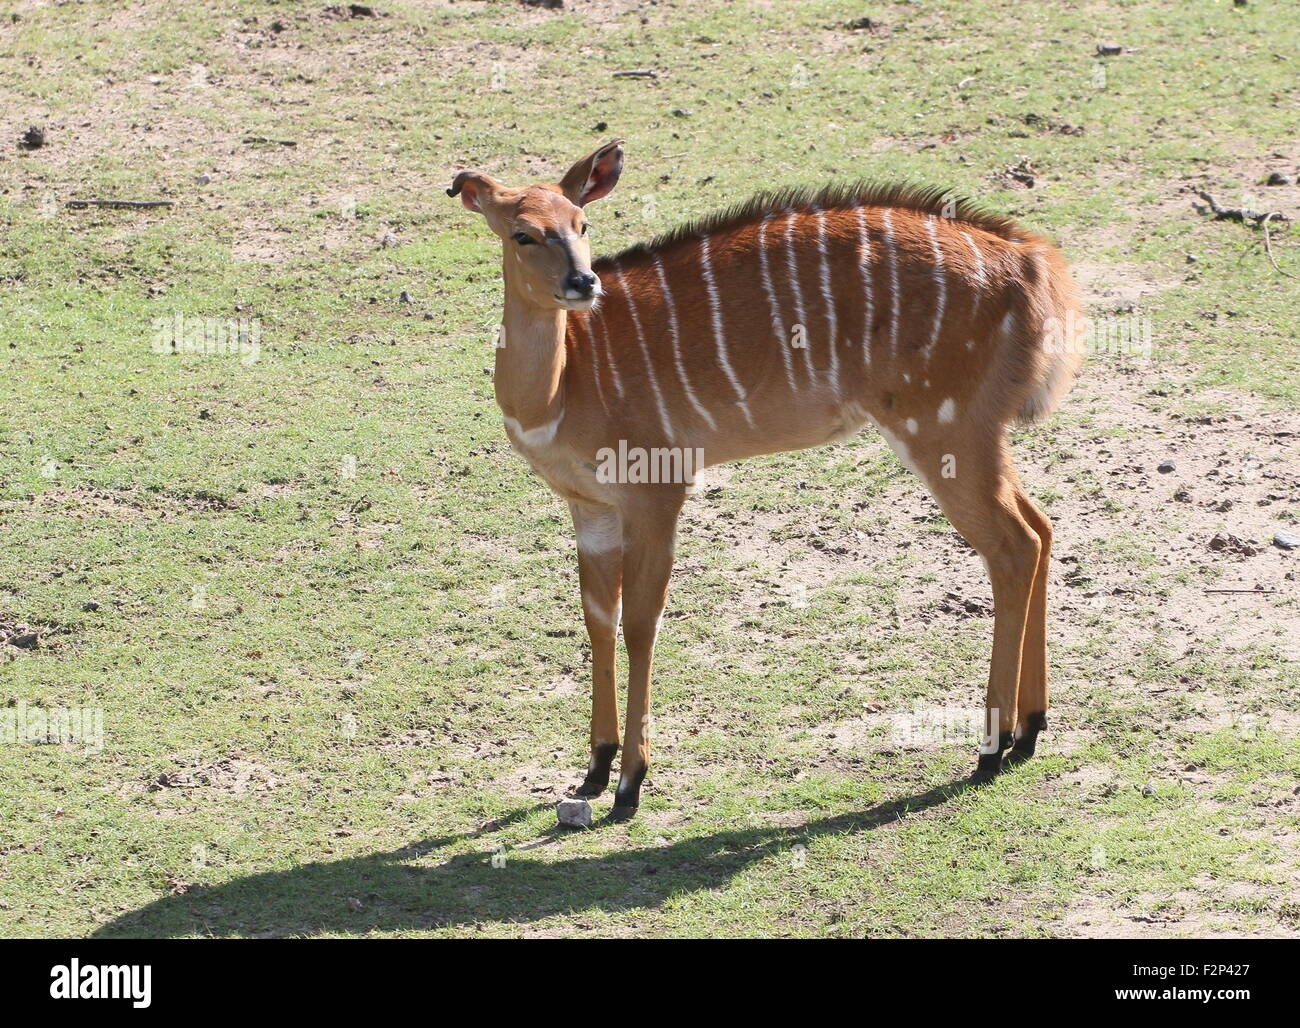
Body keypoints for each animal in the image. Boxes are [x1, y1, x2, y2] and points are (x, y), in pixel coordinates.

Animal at [447, 141, 1082, 821]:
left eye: (582, 223)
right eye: (522, 233)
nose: (582, 282)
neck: (562, 386)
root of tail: (1033, 262)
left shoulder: (658, 487)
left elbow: (641, 621)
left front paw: (630, 783)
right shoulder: (589, 507)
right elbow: (598, 617)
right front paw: (593, 768)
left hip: (944, 430)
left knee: (1012, 545)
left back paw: (992, 745)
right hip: (977, 434)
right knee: (1041, 527)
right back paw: (1031, 727)